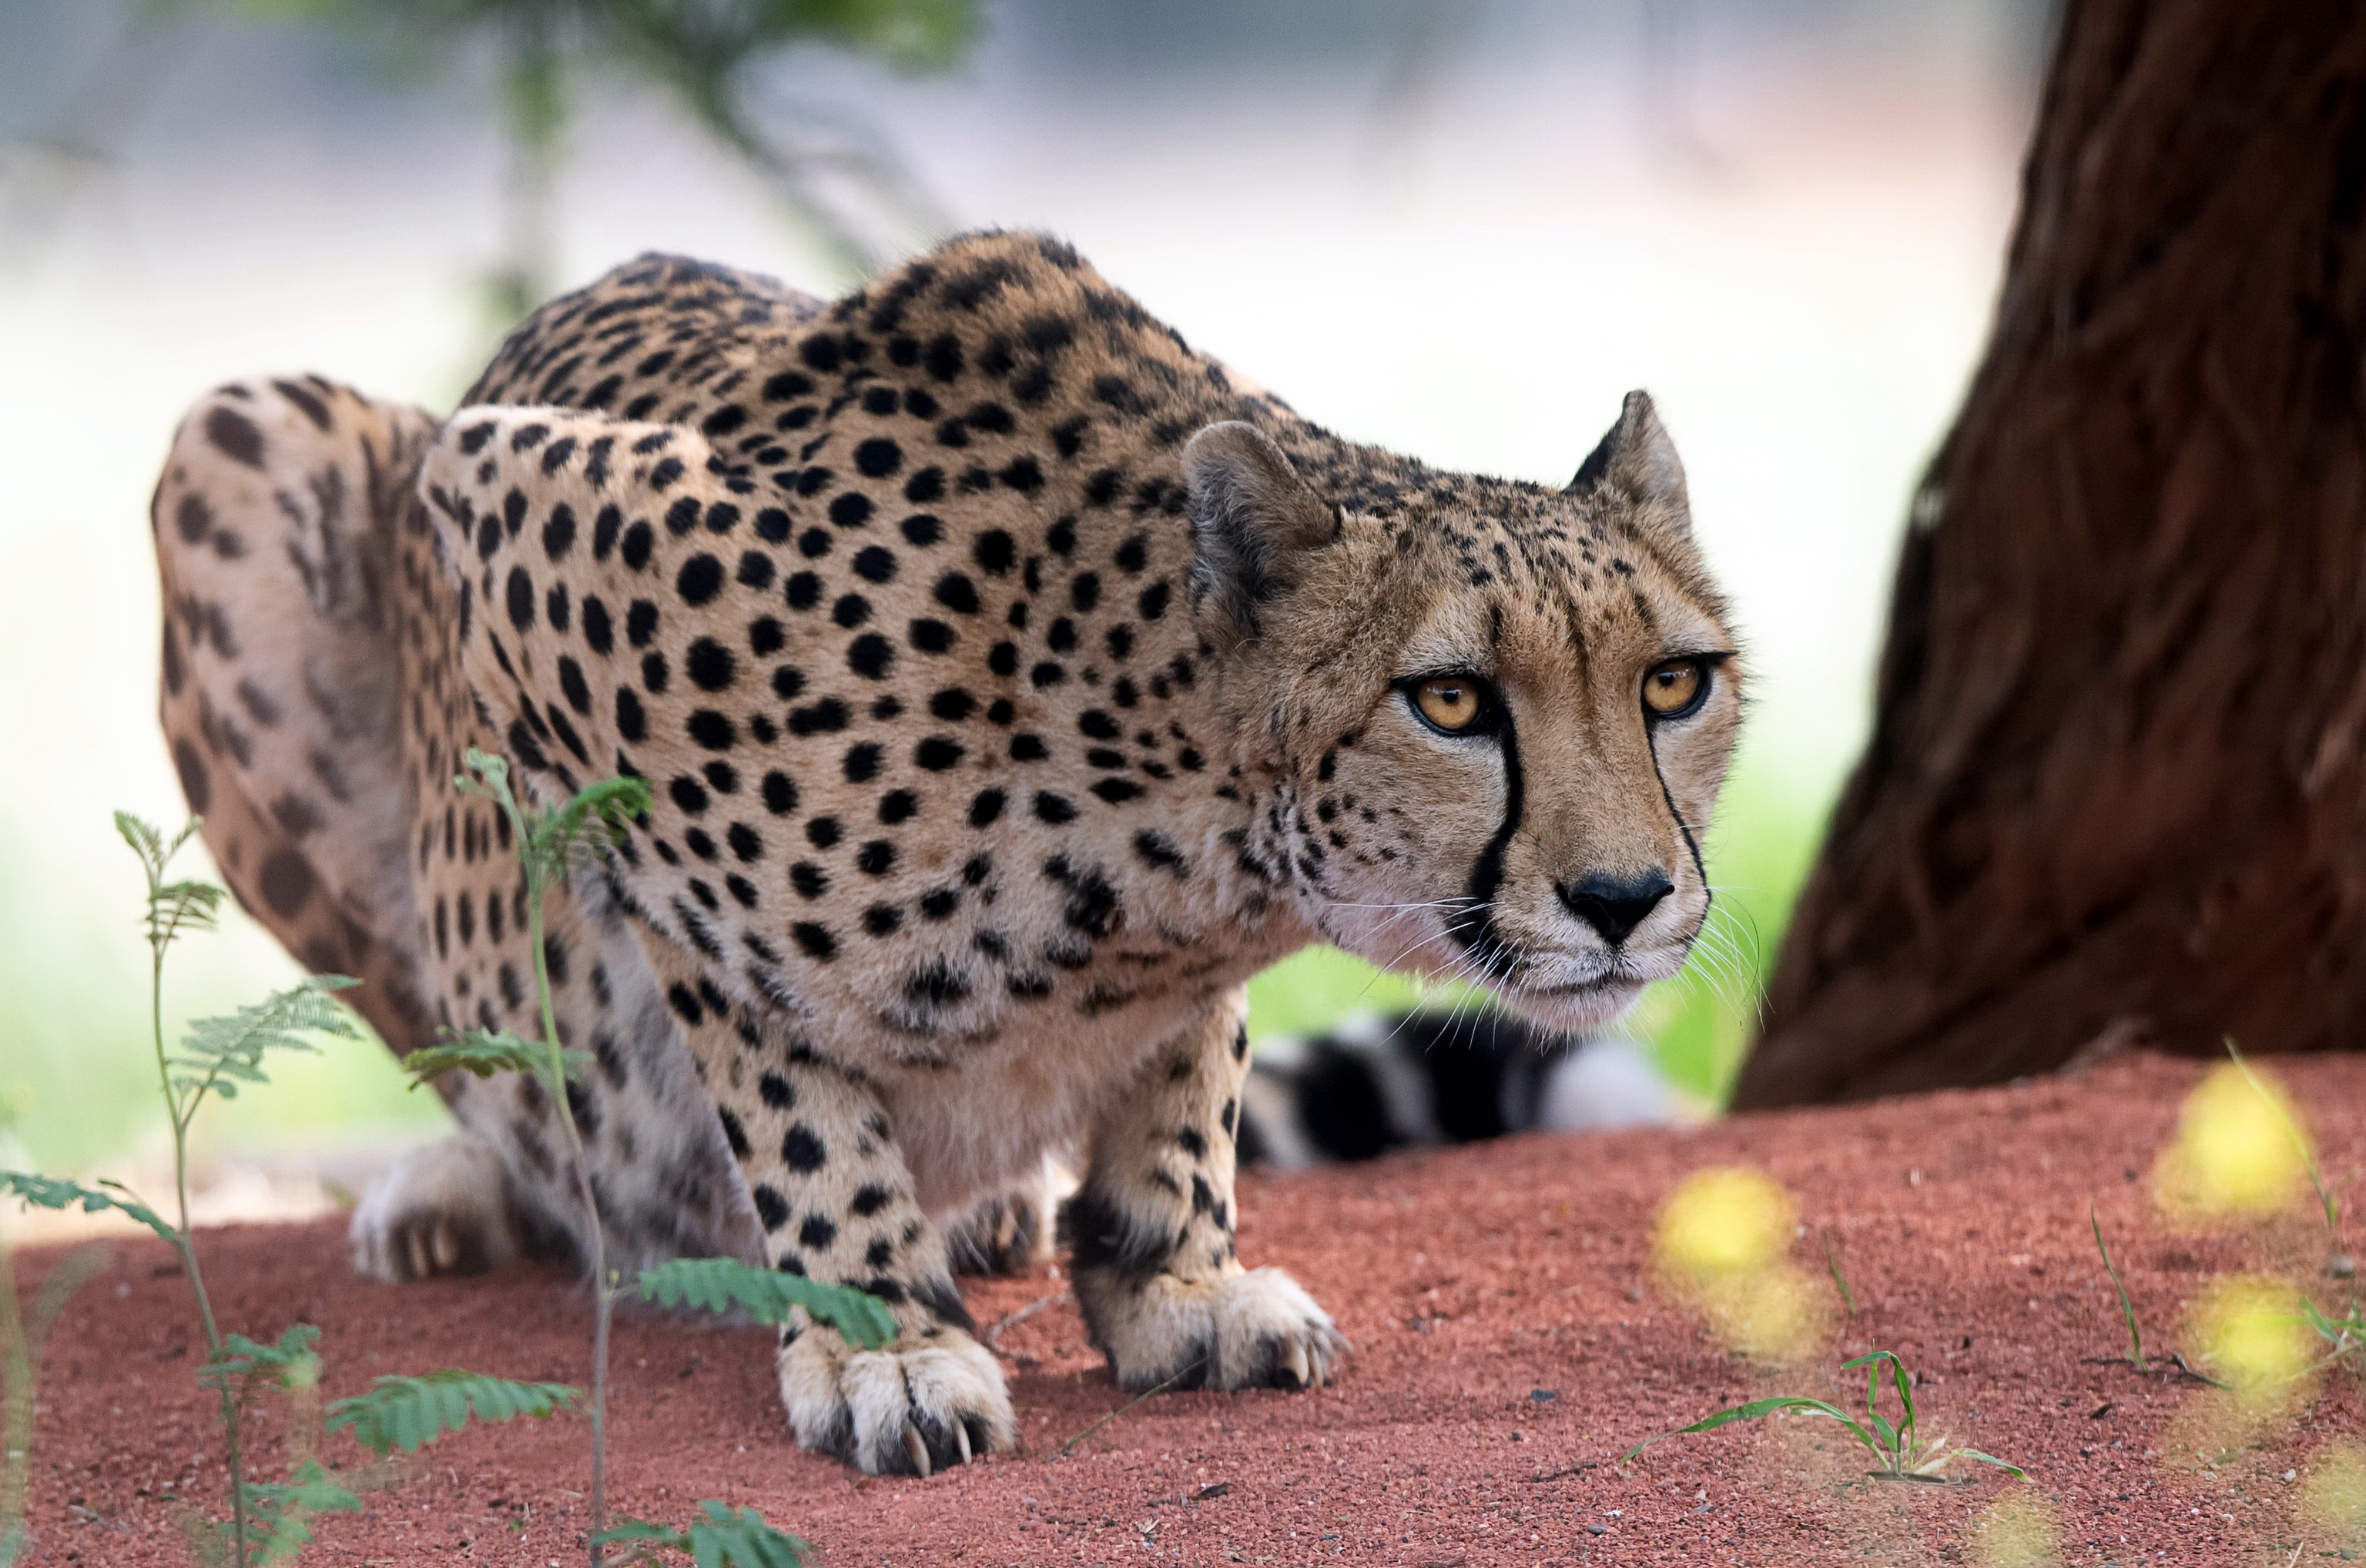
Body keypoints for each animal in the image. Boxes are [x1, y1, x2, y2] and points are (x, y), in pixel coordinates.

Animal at [148, 231, 1741, 1477]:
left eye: (1673, 684)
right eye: (1452, 701)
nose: (1625, 901)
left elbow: (1186, 1079)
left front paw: (1174, 1280)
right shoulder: (517, 539)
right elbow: (781, 1073)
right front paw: (881, 1335)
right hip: (234, 445)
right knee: (481, 1068)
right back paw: (478, 1183)